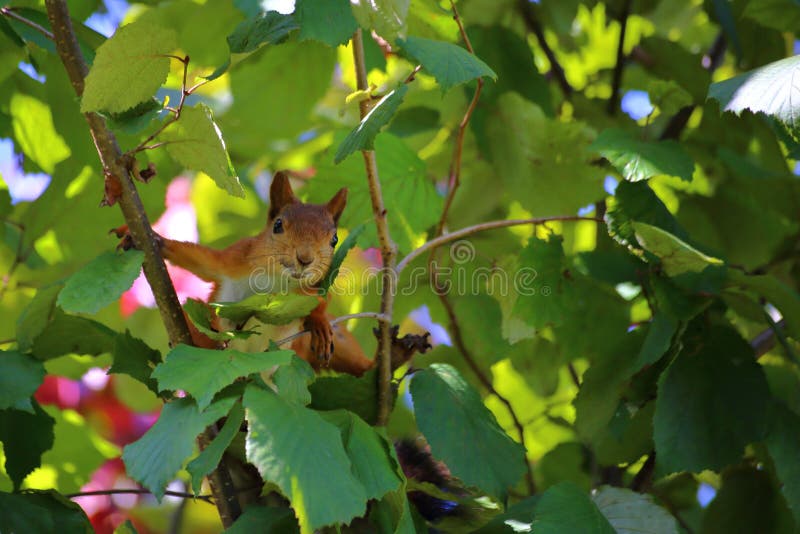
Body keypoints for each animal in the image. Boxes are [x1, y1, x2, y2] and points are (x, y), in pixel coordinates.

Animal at [115, 171, 430, 376]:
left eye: (334, 240)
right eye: (278, 225)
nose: (305, 259)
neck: (276, 280)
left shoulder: (314, 288)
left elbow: (321, 302)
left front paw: (318, 321)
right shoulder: (232, 261)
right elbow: (198, 259)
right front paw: (152, 239)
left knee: (360, 369)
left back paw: (391, 358)